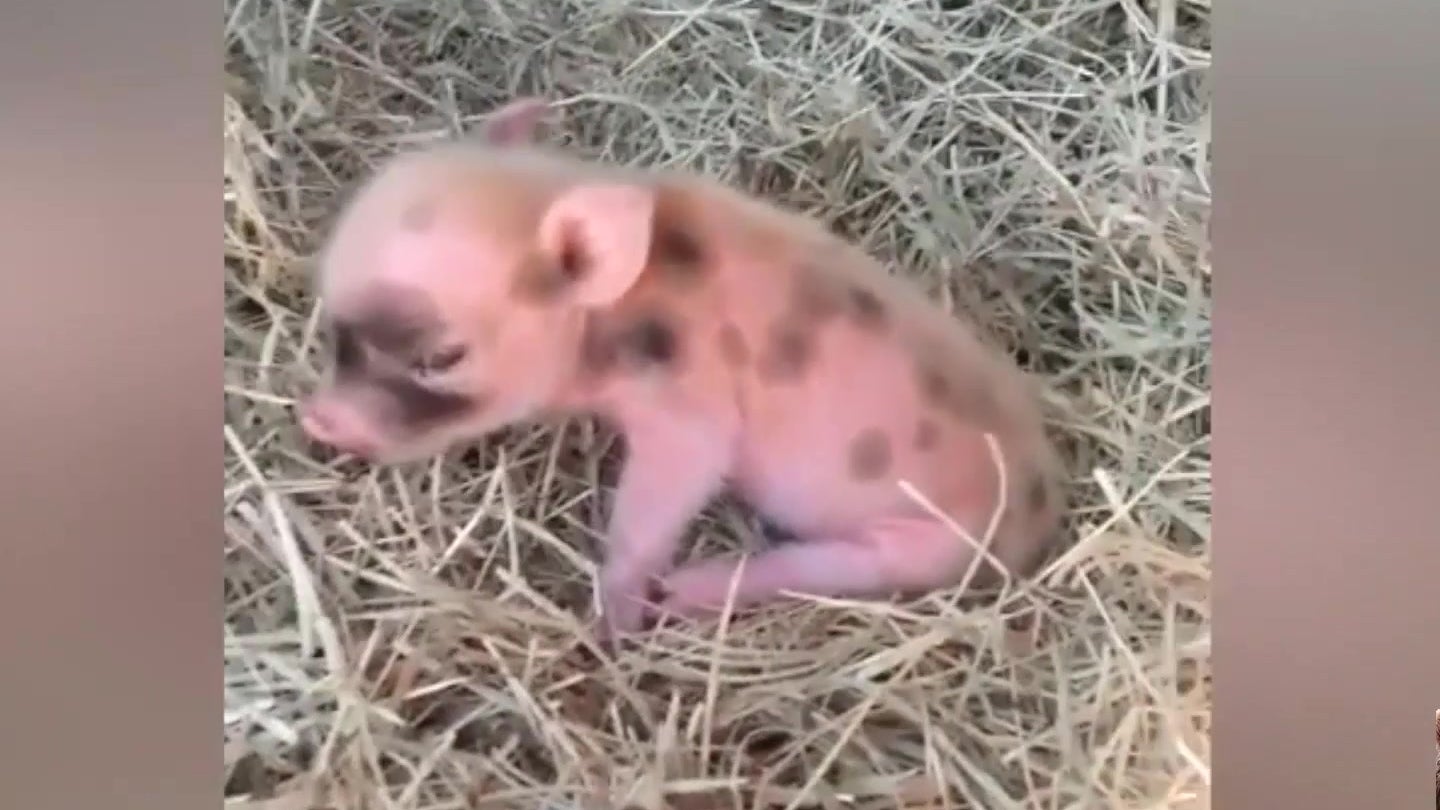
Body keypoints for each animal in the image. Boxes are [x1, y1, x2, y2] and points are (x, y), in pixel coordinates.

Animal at [298, 97, 1066, 639]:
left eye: (442, 356)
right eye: (335, 326)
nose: (317, 419)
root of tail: (1039, 514)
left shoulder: (690, 417)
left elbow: (655, 508)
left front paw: (615, 624)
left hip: (927, 546)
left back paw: (684, 594)